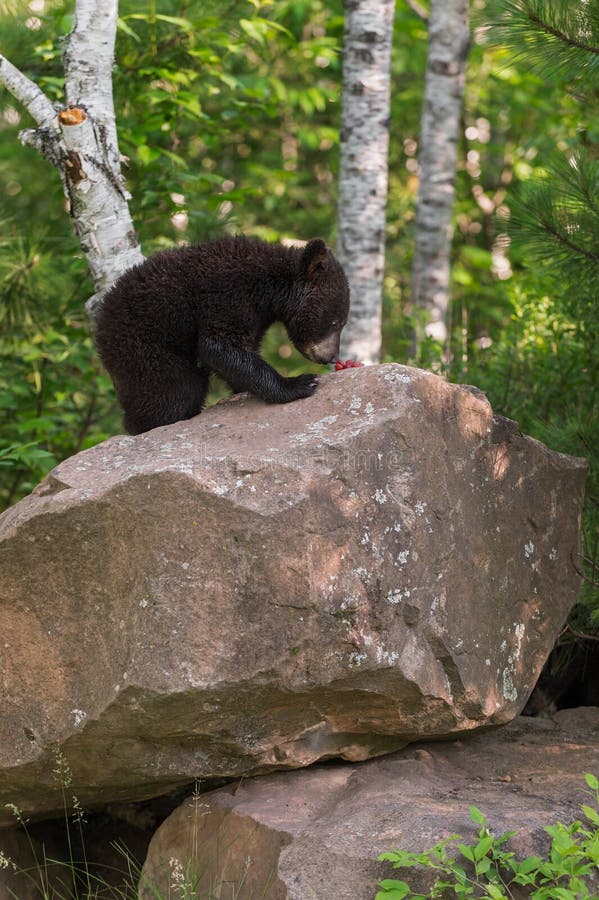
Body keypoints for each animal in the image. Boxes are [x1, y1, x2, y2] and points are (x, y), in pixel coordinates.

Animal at [94, 236, 350, 435]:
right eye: (335, 322)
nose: (331, 357)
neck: (270, 290)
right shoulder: (229, 294)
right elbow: (219, 345)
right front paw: (299, 383)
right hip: (146, 347)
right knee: (174, 394)